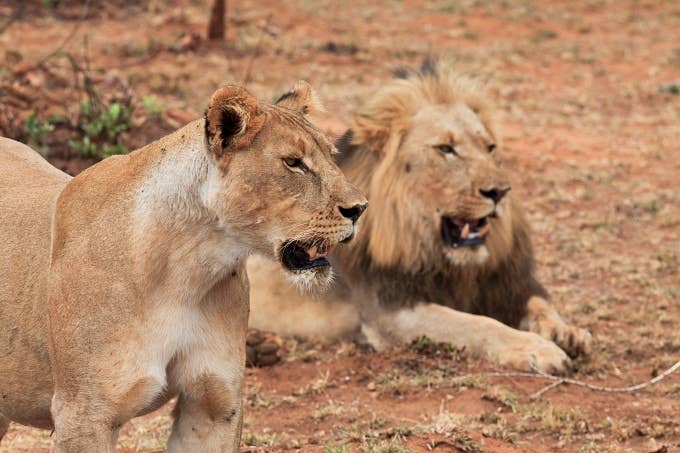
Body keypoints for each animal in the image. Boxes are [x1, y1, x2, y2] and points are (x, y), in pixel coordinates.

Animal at [0, 82, 366, 452]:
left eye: (332, 155)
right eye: (294, 163)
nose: (360, 208)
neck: (187, 272)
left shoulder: (215, 403)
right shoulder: (84, 413)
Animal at [248, 61, 591, 374]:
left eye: (490, 147)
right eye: (446, 148)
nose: (500, 191)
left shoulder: (505, 285)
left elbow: (540, 304)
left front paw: (566, 333)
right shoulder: (391, 310)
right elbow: (477, 324)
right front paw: (539, 349)